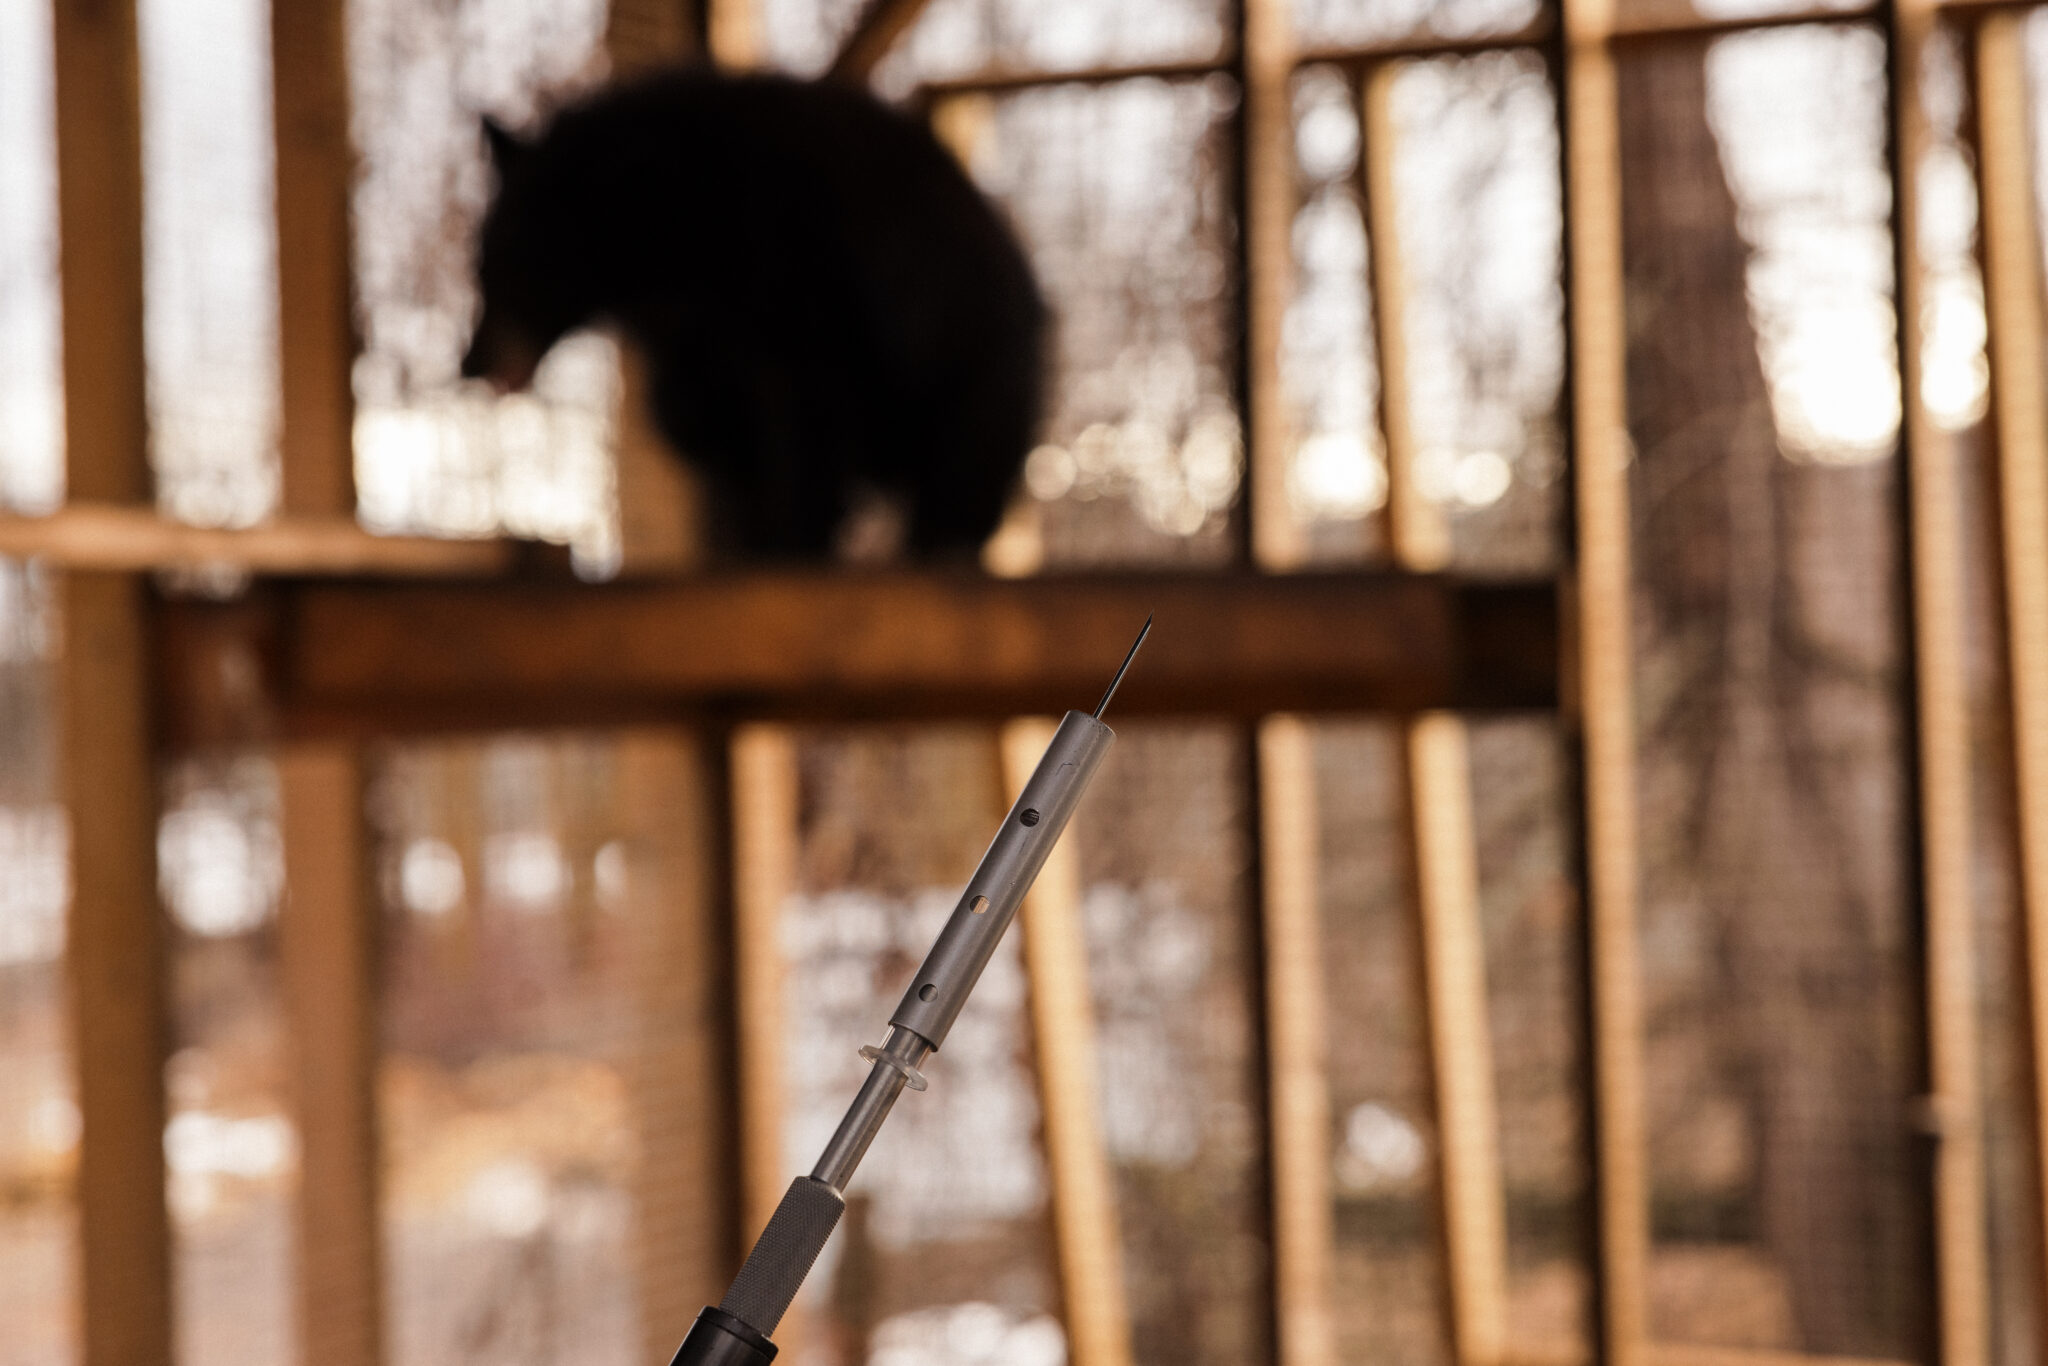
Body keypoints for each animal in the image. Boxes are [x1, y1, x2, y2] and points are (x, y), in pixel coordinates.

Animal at [460, 68, 1048, 561]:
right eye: (480, 267)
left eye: (516, 268)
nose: (467, 366)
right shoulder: (698, 347)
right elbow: (703, 424)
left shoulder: (801, 304)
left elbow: (807, 428)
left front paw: (794, 541)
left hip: (972, 373)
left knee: (962, 468)